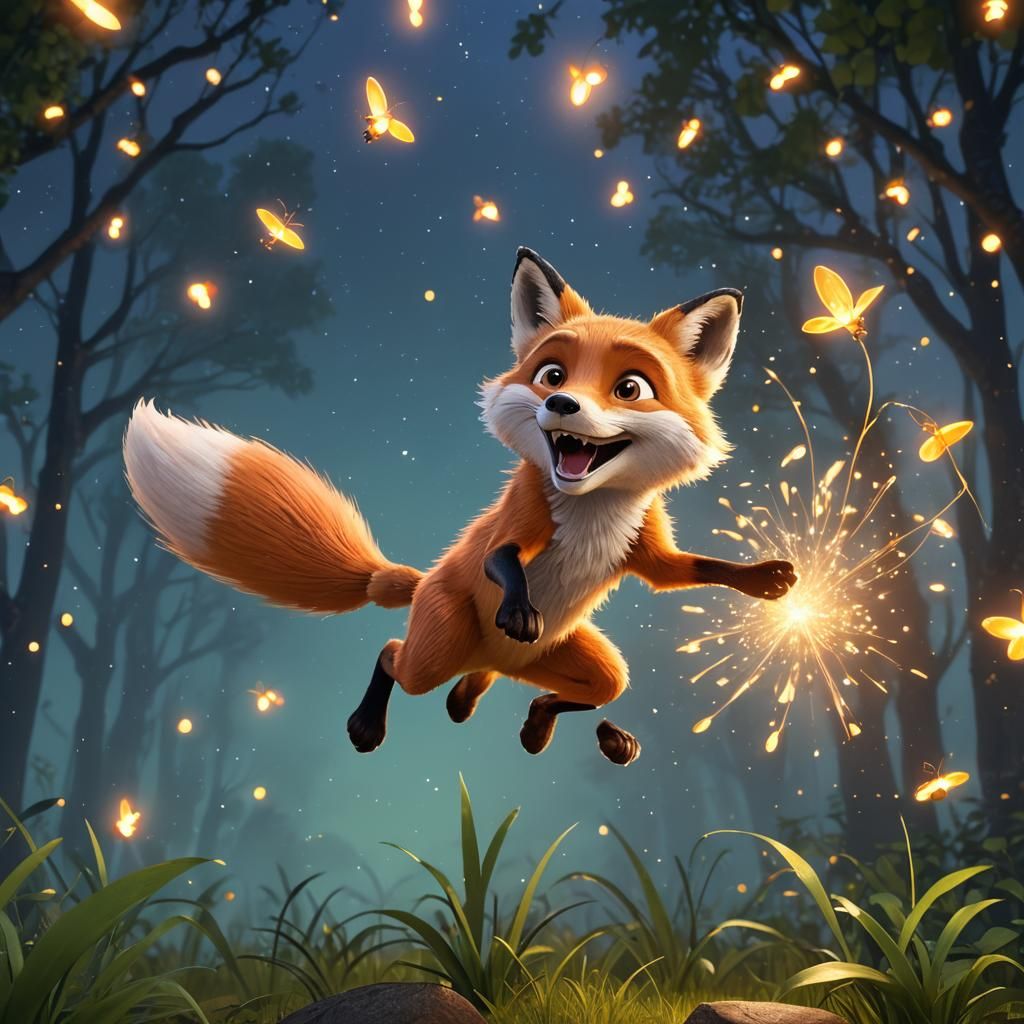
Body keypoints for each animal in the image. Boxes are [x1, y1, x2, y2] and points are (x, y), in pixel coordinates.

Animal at [123, 247, 796, 766]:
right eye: (552, 375)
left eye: (630, 388)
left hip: (581, 657)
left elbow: (688, 569)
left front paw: (765, 579)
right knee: (394, 657)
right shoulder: (523, 515)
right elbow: (504, 557)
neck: (591, 513)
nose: (561, 407)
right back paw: (376, 722)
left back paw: (520, 718)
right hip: (439, 643)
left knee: (587, 689)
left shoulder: (645, 543)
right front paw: (519, 605)